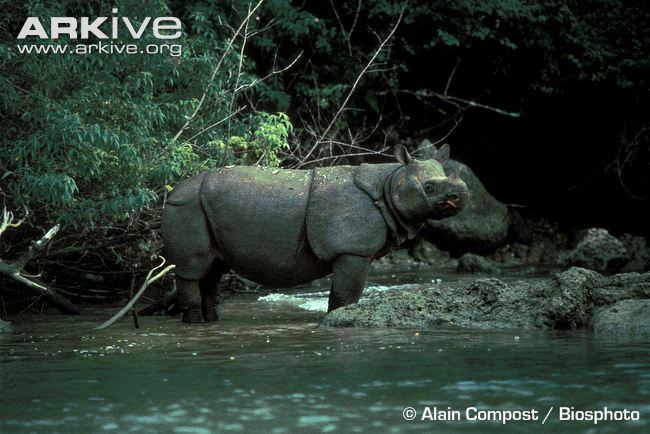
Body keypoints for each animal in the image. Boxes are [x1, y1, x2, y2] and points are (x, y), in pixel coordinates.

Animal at [161, 145, 469, 323]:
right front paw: (336, 320)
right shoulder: (352, 250)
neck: (391, 182)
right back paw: (195, 323)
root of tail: (171, 192)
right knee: (191, 270)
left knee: (213, 270)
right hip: (186, 206)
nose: (462, 195)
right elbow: (345, 296)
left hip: (201, 208)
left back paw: (212, 321)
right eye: (429, 188)